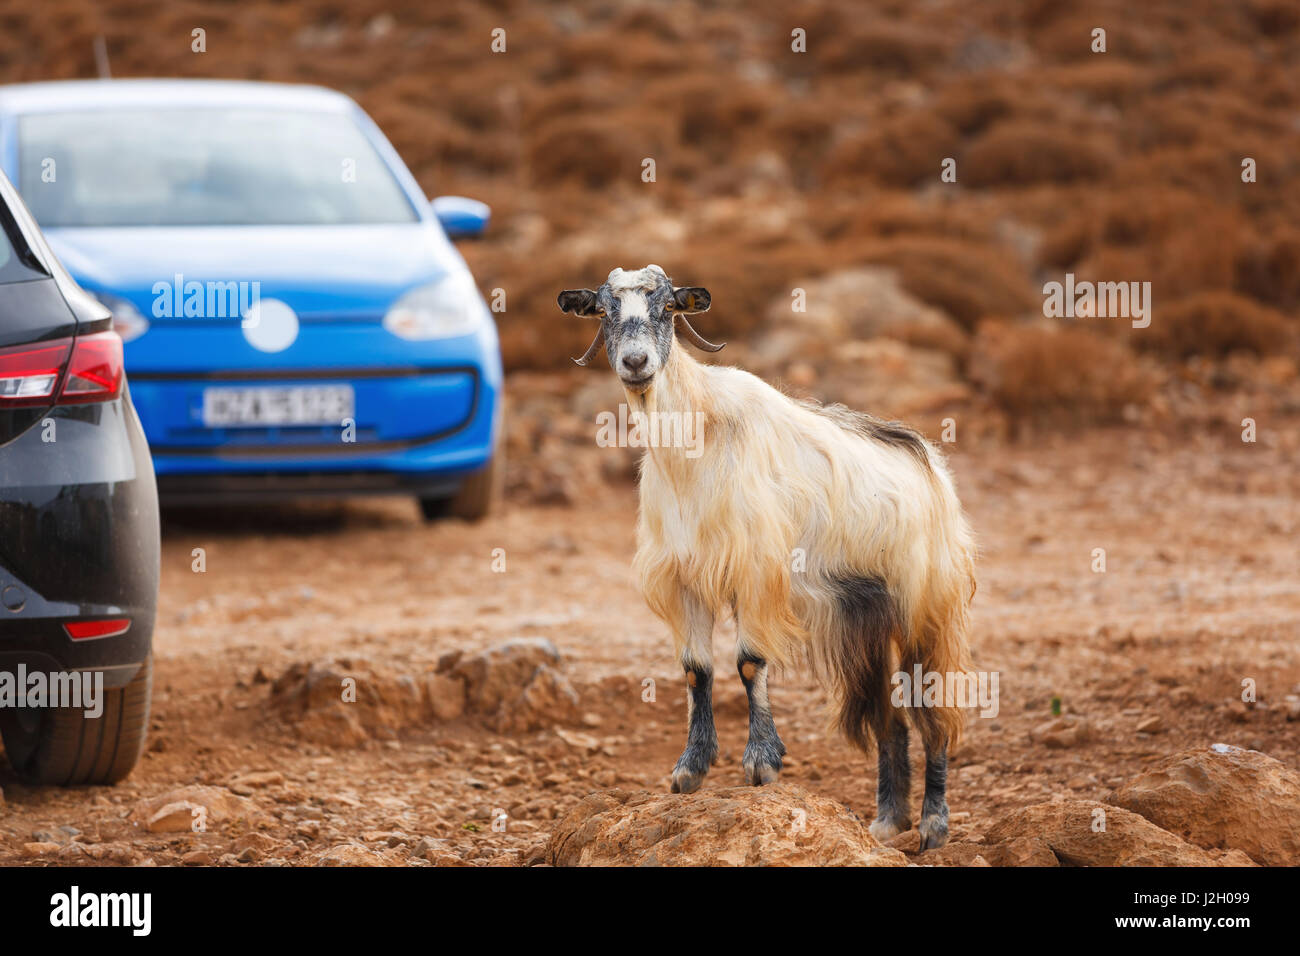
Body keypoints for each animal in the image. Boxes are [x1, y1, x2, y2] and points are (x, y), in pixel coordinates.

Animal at [557, 265, 977, 850]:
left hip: (927, 610)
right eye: (603, 312)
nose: (636, 363)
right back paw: (886, 822)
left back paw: (933, 826)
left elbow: (749, 663)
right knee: (888, 718)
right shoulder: (684, 580)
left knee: (933, 709)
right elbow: (696, 671)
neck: (695, 440)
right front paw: (689, 770)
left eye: (667, 309)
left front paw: (761, 764)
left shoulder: (756, 572)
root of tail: (933, 467)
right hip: (865, 620)